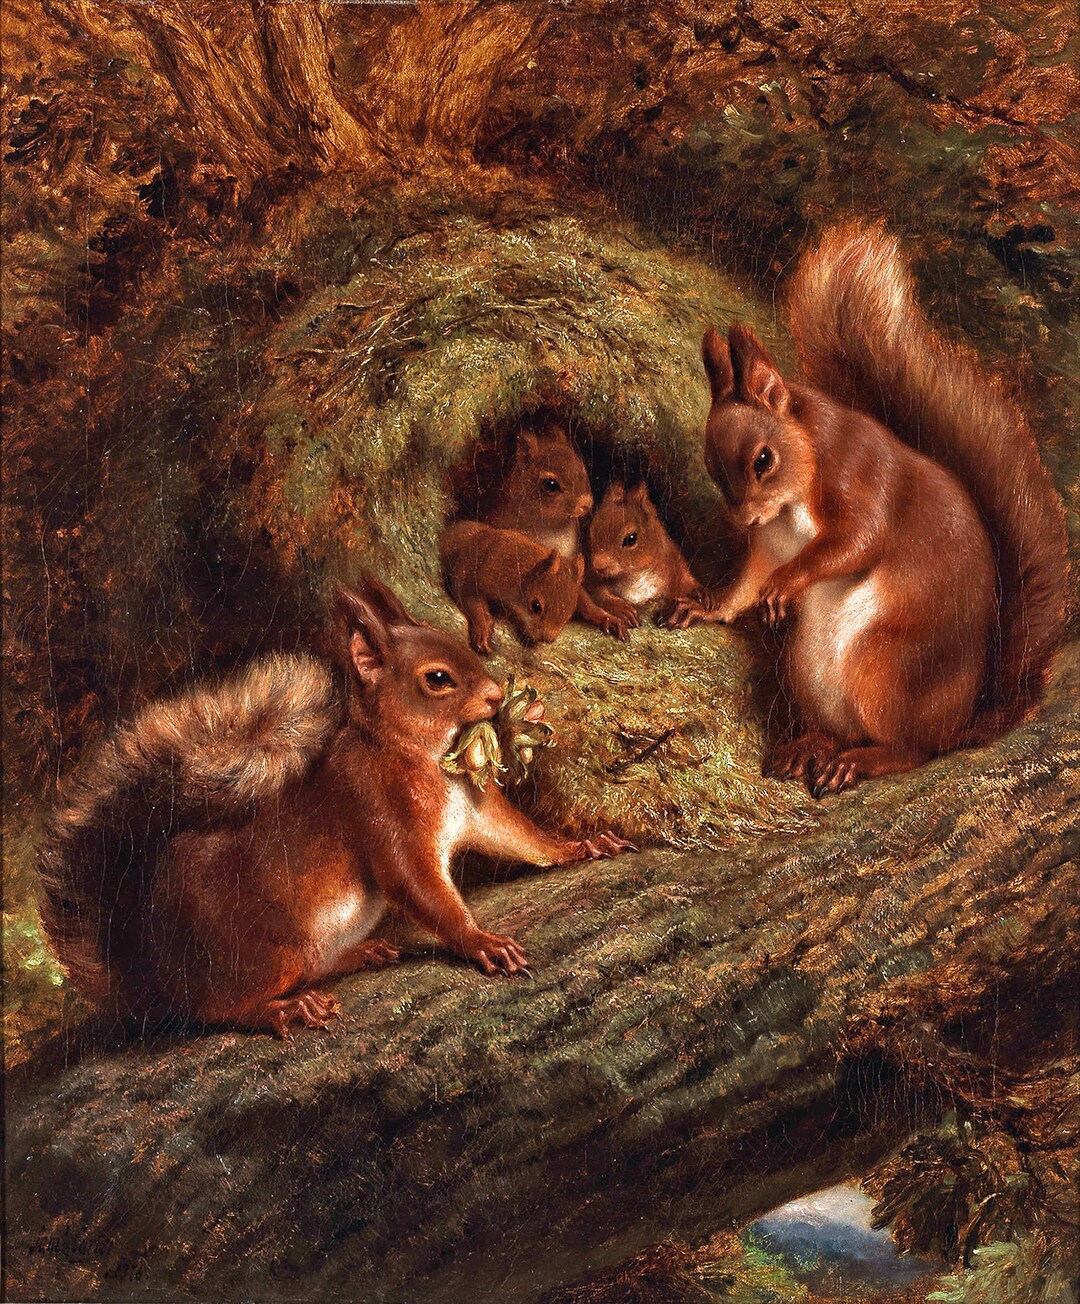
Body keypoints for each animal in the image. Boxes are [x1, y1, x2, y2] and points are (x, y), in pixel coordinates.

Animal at [38, 573, 634, 1038]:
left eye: (457, 640)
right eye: (437, 678)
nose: (494, 696)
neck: (418, 755)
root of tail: (149, 976)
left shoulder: (481, 812)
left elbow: (525, 839)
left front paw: (583, 846)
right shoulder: (378, 815)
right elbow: (420, 888)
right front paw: (481, 942)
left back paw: (361, 954)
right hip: (261, 953)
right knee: (220, 1010)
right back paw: (286, 1010)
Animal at [440, 519, 585, 655]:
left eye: (570, 614)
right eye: (536, 606)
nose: (548, 639)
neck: (521, 575)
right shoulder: (478, 569)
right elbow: (467, 596)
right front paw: (483, 627)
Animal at [481, 421, 633, 640]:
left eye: (582, 468)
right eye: (550, 485)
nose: (586, 504)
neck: (552, 528)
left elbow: (582, 598)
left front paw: (606, 616)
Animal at [586, 480, 700, 625]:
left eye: (631, 539)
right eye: (592, 531)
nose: (599, 565)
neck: (636, 576)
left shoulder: (675, 569)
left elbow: (687, 584)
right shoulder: (595, 581)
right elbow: (598, 594)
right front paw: (621, 609)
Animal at [669, 222, 1068, 797]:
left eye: (764, 459)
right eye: (710, 467)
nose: (742, 520)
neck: (789, 506)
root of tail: (964, 721)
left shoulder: (860, 479)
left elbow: (857, 542)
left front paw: (785, 585)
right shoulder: (767, 544)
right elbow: (743, 585)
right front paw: (709, 606)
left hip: (887, 670)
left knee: (913, 750)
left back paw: (858, 762)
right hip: (808, 672)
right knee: (842, 731)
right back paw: (810, 747)